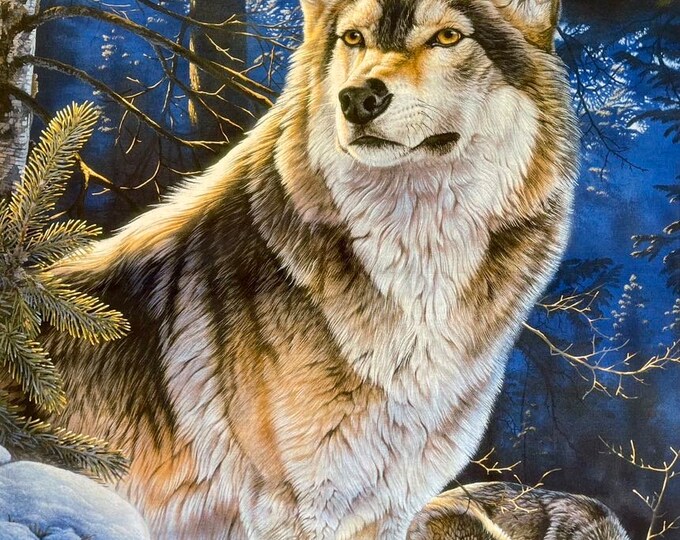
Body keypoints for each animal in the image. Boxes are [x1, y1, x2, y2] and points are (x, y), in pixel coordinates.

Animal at [47, 0, 579, 537]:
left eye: (448, 37)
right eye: (353, 38)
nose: (359, 98)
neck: (414, 275)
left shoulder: (389, 508)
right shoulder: (295, 506)